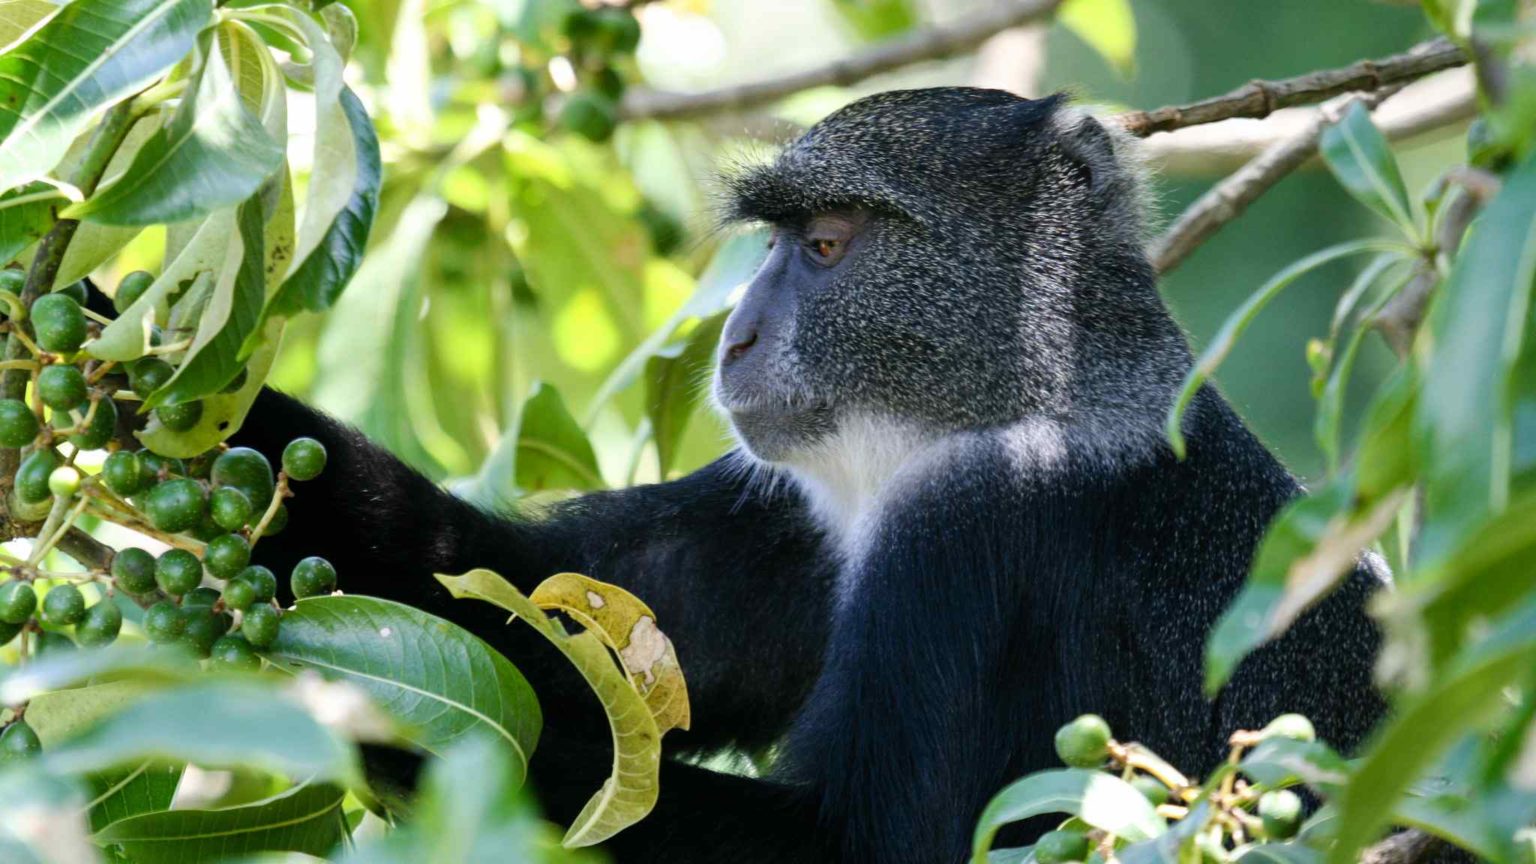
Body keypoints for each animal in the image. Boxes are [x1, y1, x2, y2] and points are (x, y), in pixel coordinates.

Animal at [232, 87, 1388, 863]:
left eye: (828, 244)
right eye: (776, 242)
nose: (735, 336)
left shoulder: (978, 531)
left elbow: (861, 846)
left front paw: (354, 713)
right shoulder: (794, 507)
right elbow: (535, 601)